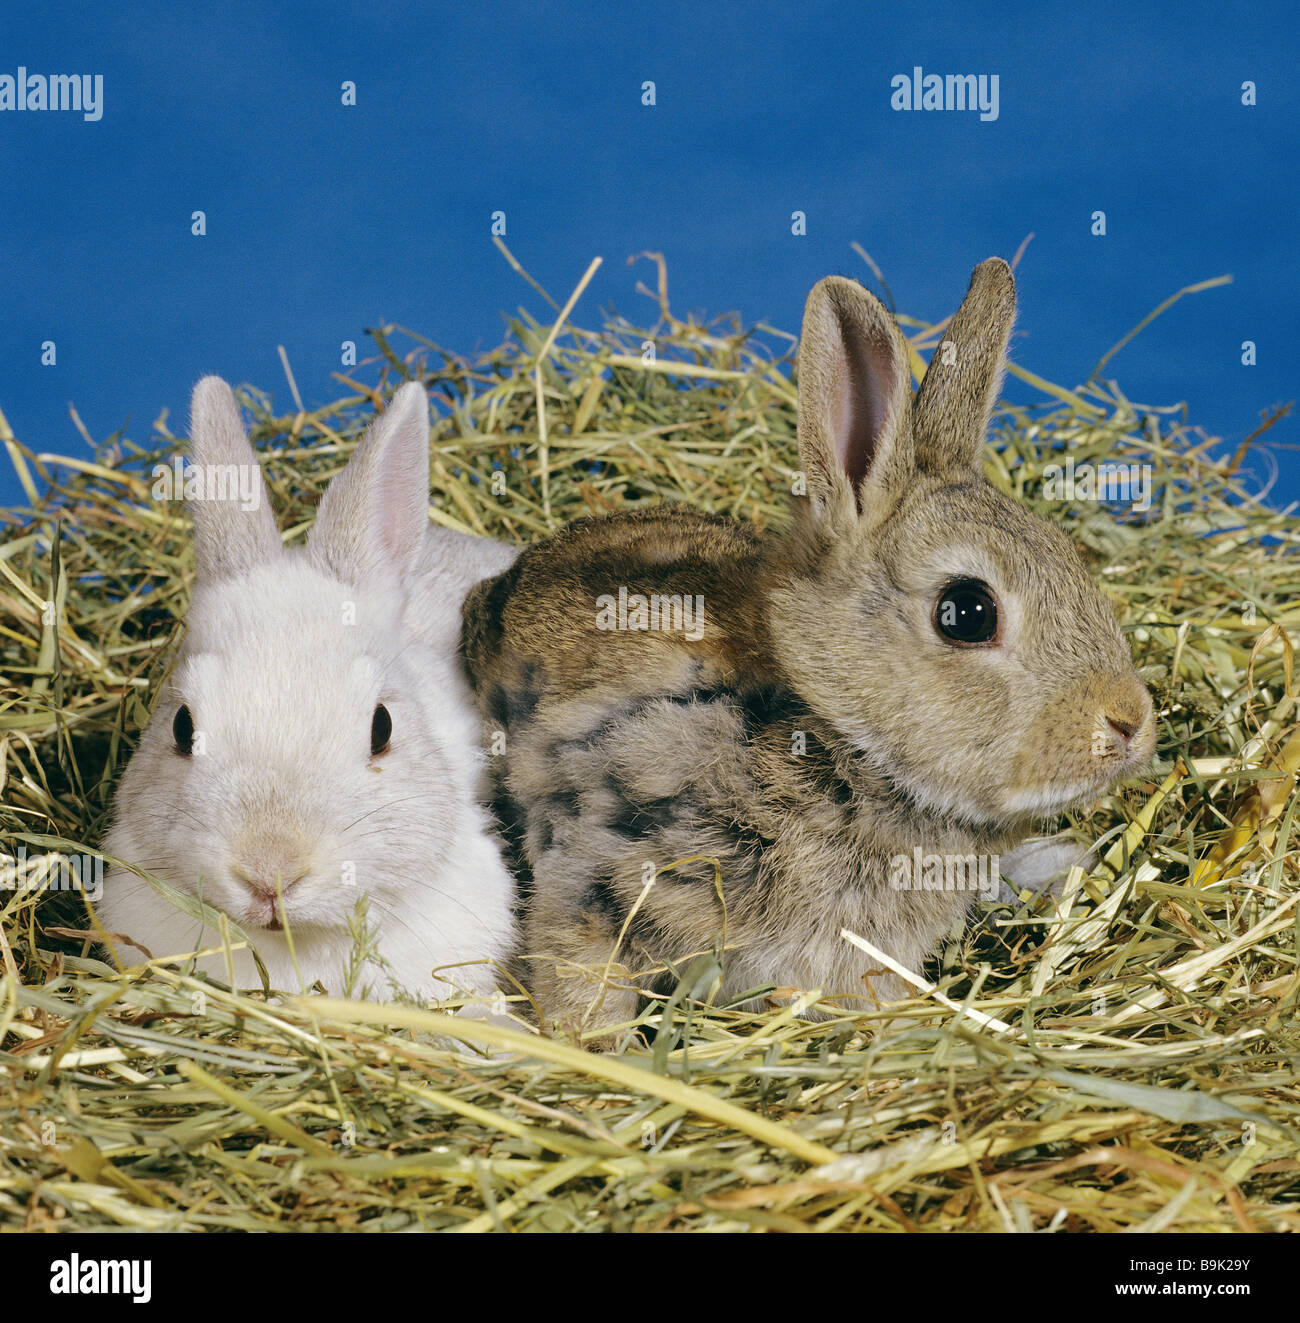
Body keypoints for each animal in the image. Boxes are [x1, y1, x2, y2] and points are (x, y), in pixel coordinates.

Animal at [461, 259, 1157, 1040]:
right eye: (968, 613)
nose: (1131, 724)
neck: (832, 730)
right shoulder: (597, 870)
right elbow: (579, 971)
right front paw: (595, 1046)